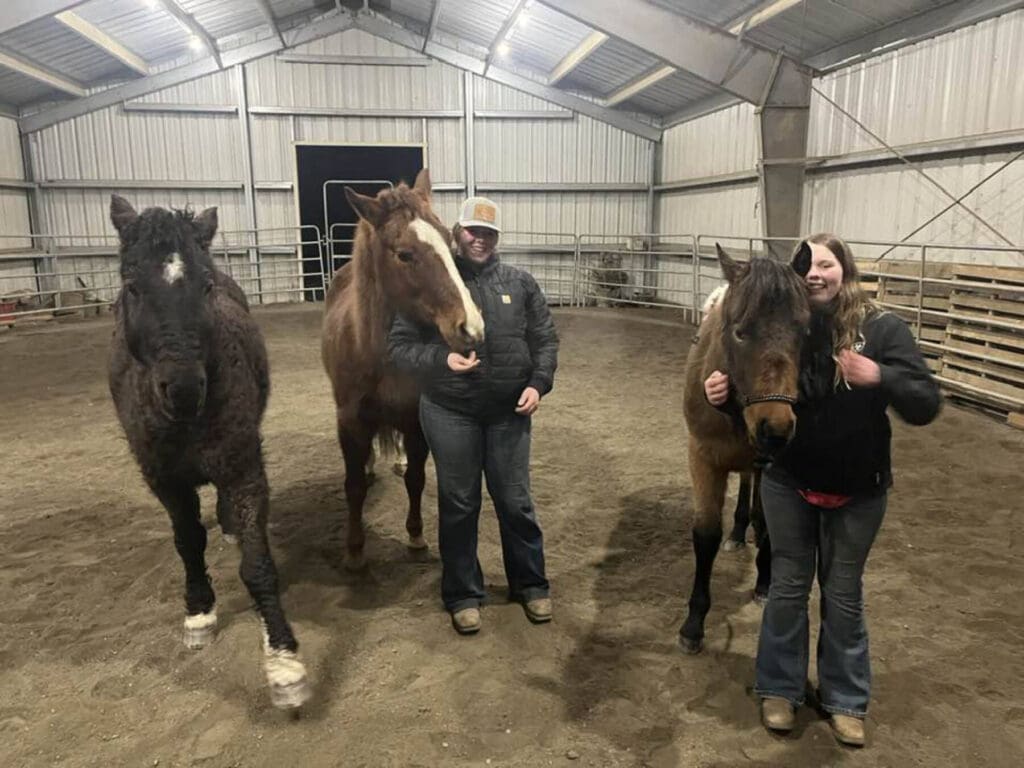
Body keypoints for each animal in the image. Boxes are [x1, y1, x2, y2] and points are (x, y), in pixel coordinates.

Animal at [107, 195, 310, 709]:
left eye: (206, 285)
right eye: (133, 286)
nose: (181, 388)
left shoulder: (242, 469)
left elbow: (257, 564)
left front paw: (284, 662)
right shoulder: (164, 480)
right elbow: (187, 540)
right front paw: (199, 612)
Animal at [321, 169, 484, 570]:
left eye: (449, 242)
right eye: (405, 254)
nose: (471, 327)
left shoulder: (414, 421)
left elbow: (415, 479)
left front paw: (415, 536)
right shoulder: (350, 421)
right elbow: (353, 487)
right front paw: (355, 550)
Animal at [678, 242, 811, 653]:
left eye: (805, 330)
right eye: (739, 332)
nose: (776, 427)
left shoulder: (769, 465)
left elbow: (768, 526)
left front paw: (765, 584)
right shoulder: (703, 459)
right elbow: (705, 534)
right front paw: (693, 625)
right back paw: (736, 534)